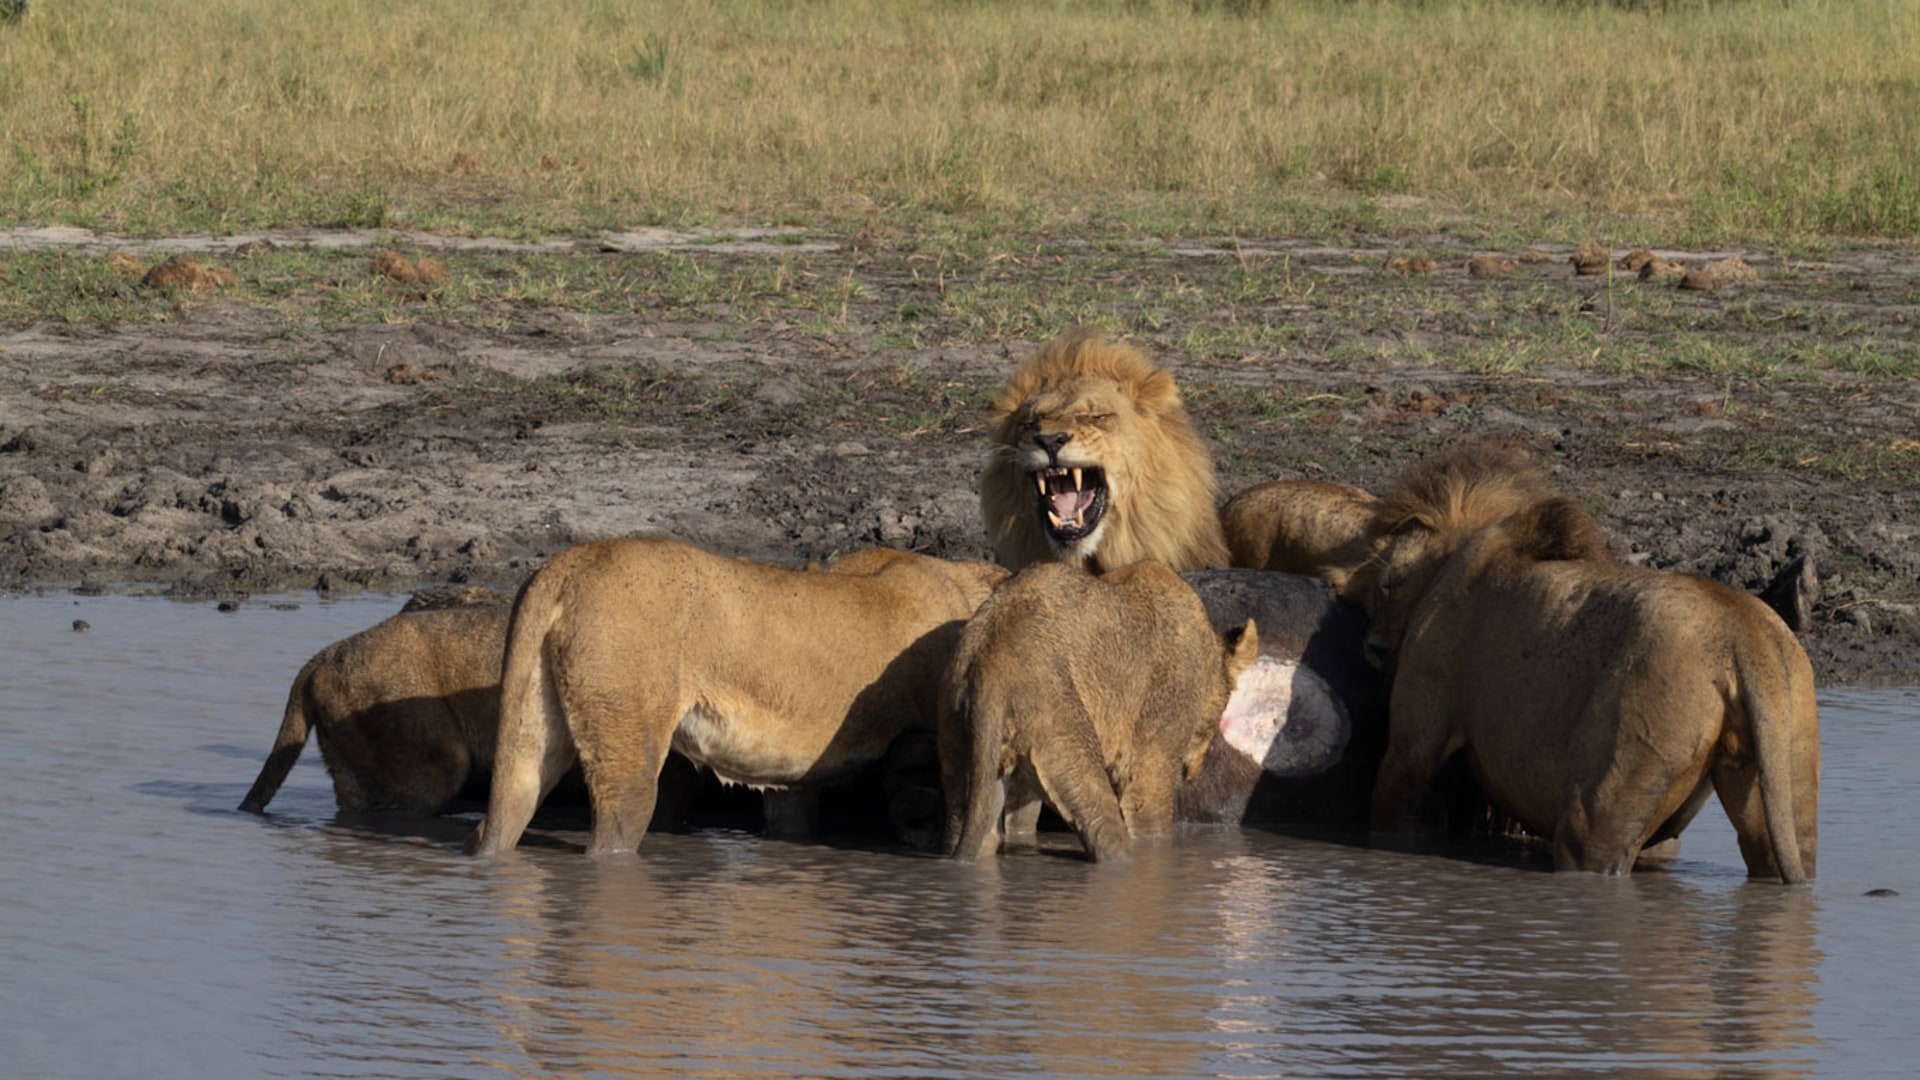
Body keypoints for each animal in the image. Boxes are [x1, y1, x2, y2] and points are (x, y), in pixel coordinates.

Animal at [468, 539, 1008, 856]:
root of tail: (564, 567)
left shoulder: (795, 776)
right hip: (628, 736)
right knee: (618, 824)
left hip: (530, 728)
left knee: (503, 813)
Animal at [940, 560, 1258, 863]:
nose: (1193, 774)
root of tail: (991, 659)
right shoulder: (1154, 749)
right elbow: (1150, 820)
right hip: (1063, 728)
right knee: (1104, 829)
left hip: (962, 740)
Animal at [1356, 443, 1820, 882]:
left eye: (1386, 584)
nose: (1373, 646)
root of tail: (1744, 634)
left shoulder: (1415, 738)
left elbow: (1392, 808)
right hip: (1784, 772)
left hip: (1606, 789)